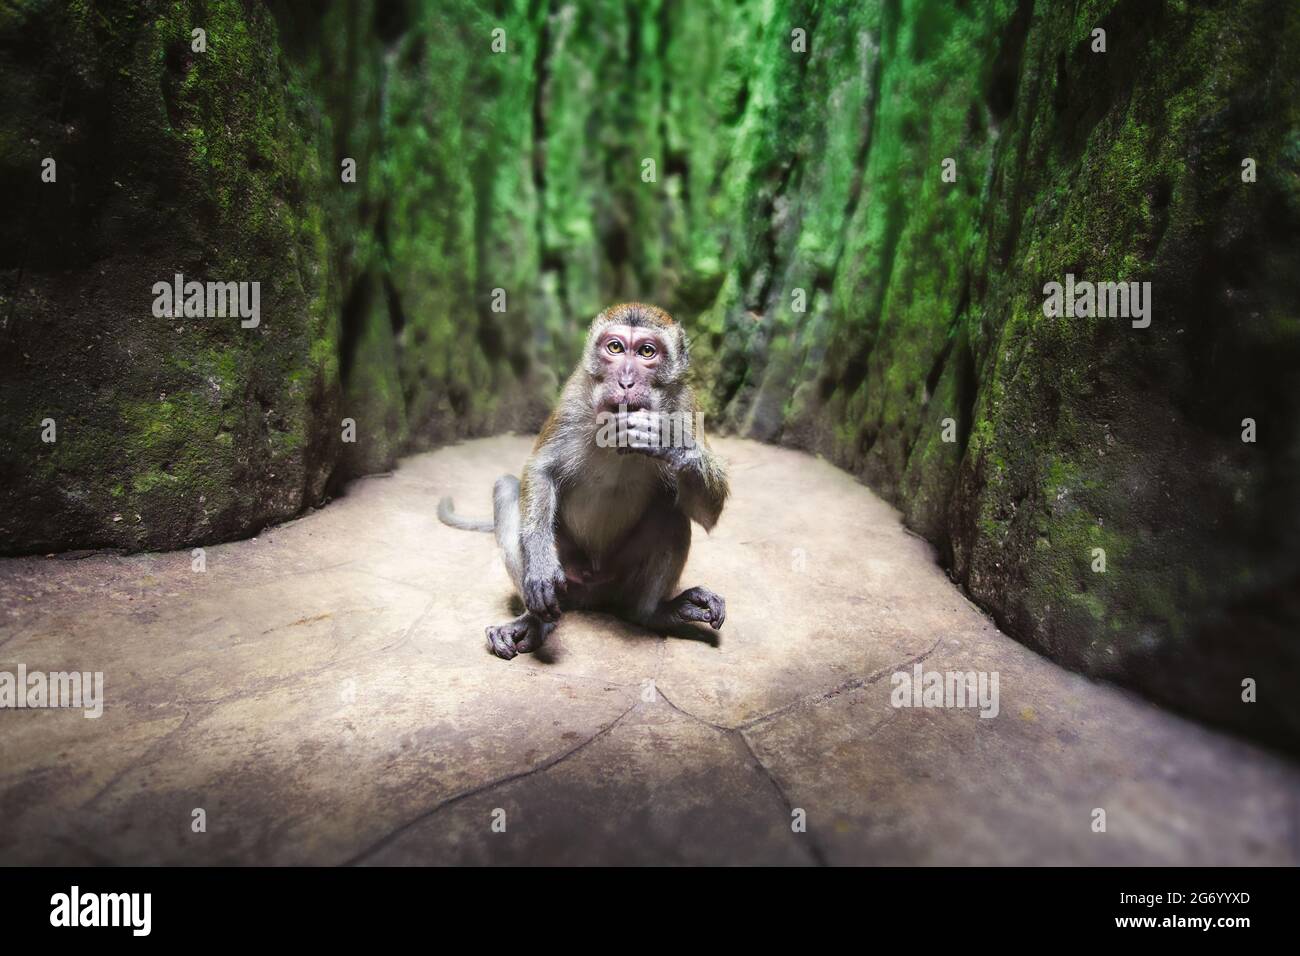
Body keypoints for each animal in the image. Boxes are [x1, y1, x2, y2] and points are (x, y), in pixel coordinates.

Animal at [438, 302, 729, 659]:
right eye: (615, 348)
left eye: (647, 352)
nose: (626, 381)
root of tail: (593, 594)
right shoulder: (573, 397)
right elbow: (541, 469)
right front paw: (539, 568)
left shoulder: (686, 406)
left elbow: (708, 512)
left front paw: (667, 439)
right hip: (569, 576)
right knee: (506, 489)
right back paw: (535, 623)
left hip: (619, 581)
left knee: (671, 512)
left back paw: (653, 613)